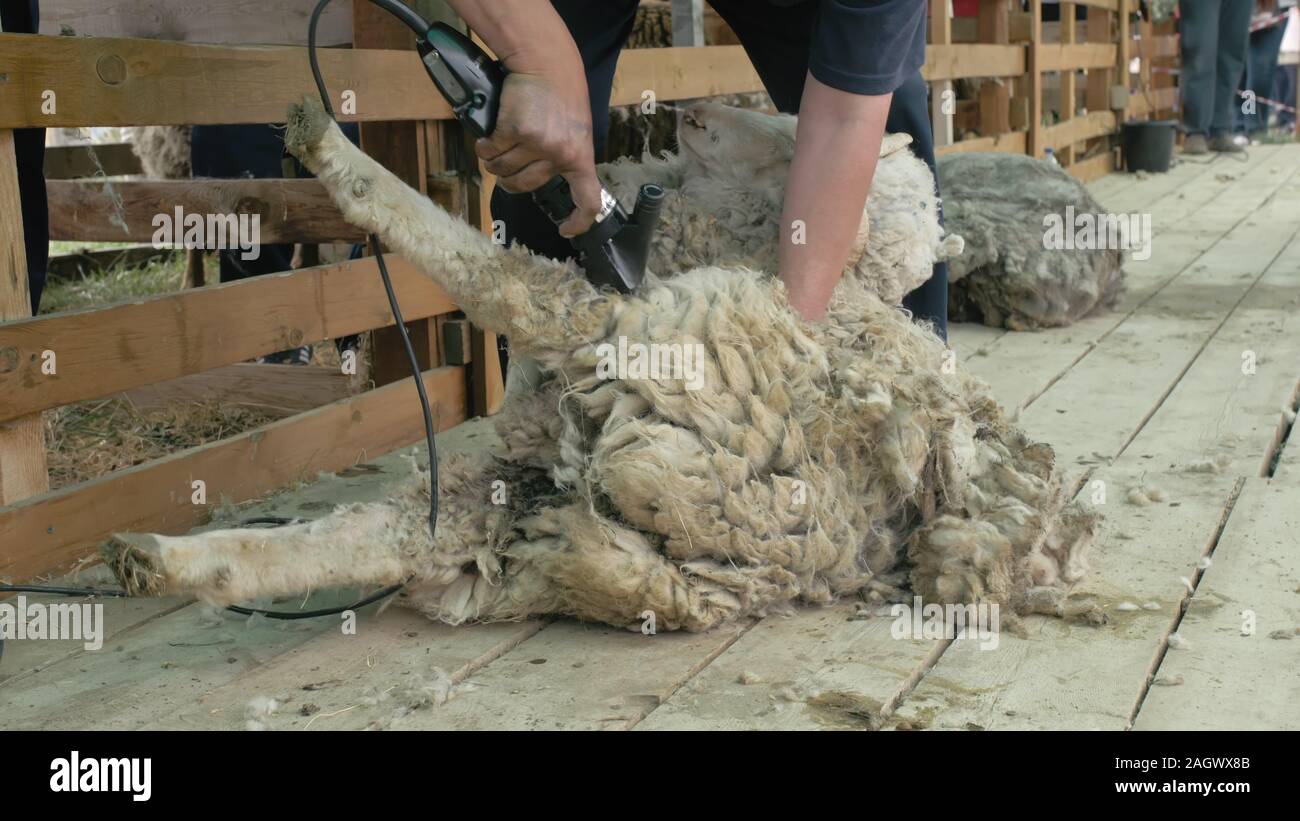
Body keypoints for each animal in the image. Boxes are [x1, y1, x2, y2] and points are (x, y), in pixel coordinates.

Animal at [102, 98, 1099, 633]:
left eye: (778, 128)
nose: (692, 112)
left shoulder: (610, 322)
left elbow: (479, 260)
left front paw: (330, 152)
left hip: (629, 352)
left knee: (492, 277)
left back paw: (329, 147)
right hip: (522, 512)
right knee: (368, 538)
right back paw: (149, 559)